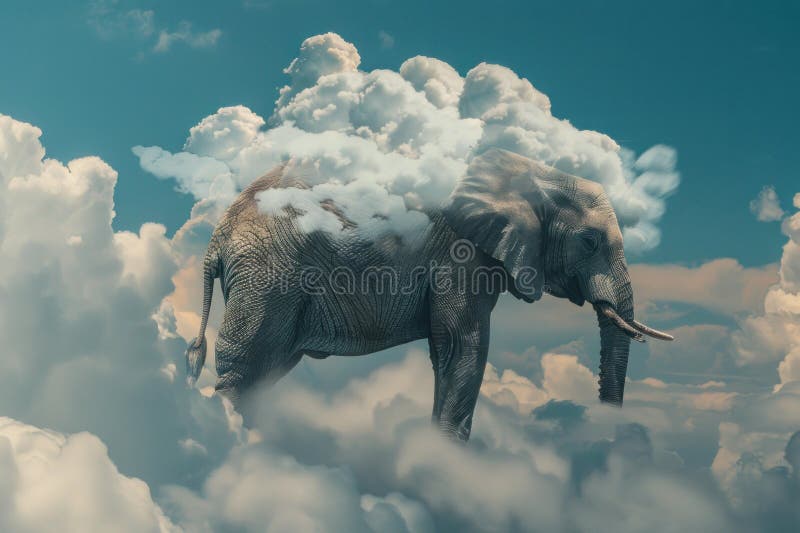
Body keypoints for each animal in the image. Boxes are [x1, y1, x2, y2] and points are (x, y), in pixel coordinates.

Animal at [185, 148, 673, 441]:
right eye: (590, 242)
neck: (538, 172)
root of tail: (218, 235)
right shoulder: (460, 254)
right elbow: (464, 346)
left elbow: (448, 353)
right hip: (269, 276)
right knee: (246, 365)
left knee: (264, 370)